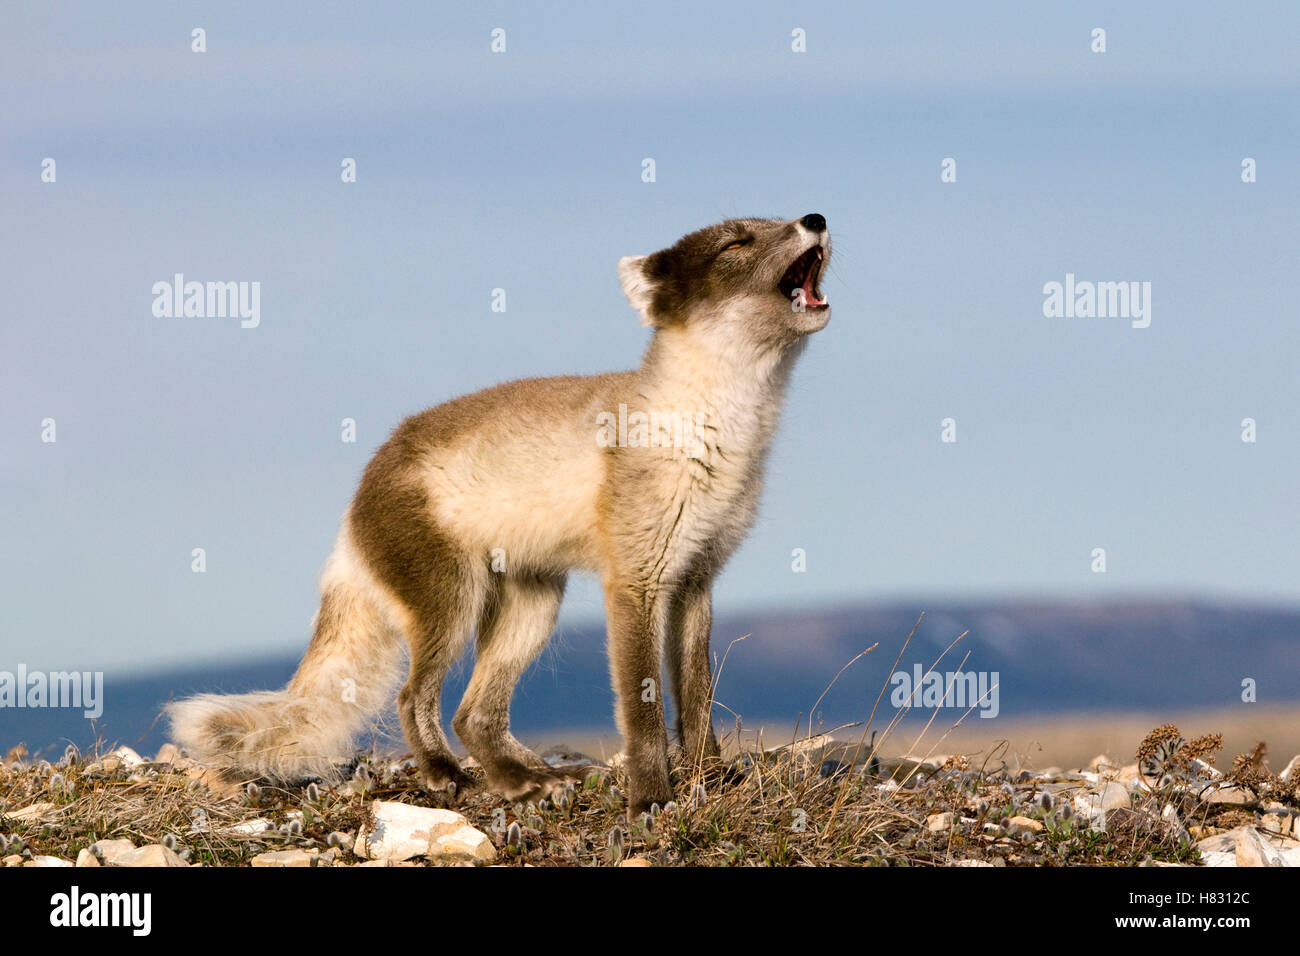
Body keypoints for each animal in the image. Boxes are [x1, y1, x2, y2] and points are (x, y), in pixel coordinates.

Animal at [167, 213, 832, 813]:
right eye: (736, 243)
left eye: (776, 220)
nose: (817, 218)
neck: (718, 432)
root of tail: (360, 490)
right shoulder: (635, 582)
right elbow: (643, 712)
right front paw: (651, 799)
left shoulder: (696, 579)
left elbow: (695, 699)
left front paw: (710, 776)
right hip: (452, 603)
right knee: (414, 697)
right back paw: (447, 773)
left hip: (532, 608)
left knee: (475, 714)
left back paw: (527, 779)